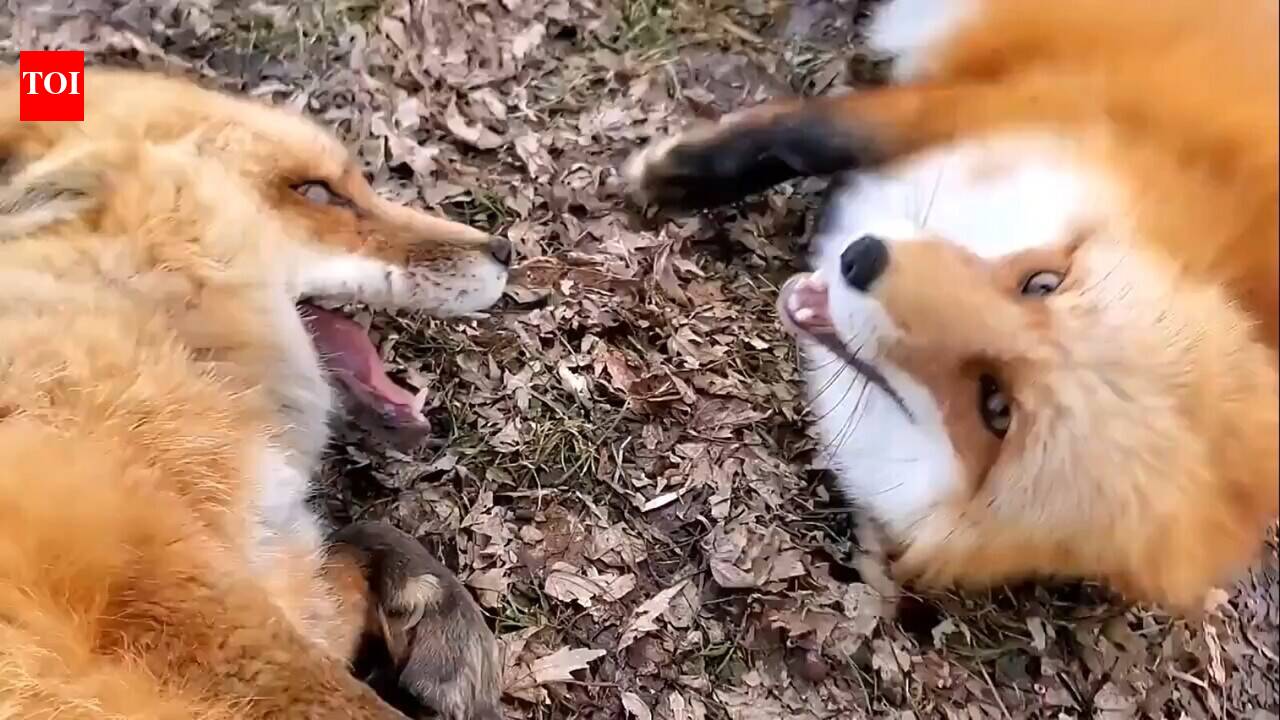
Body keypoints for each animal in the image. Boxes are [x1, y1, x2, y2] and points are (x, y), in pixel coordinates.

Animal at [0, 68, 507, 718]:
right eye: (316, 192)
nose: (505, 251)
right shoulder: (163, 577)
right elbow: (350, 696)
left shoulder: (262, 569)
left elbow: (363, 538)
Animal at [624, 0, 1280, 615]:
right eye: (1042, 283)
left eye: (995, 407)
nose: (862, 259)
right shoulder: (1012, 101)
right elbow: (817, 137)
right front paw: (677, 171)